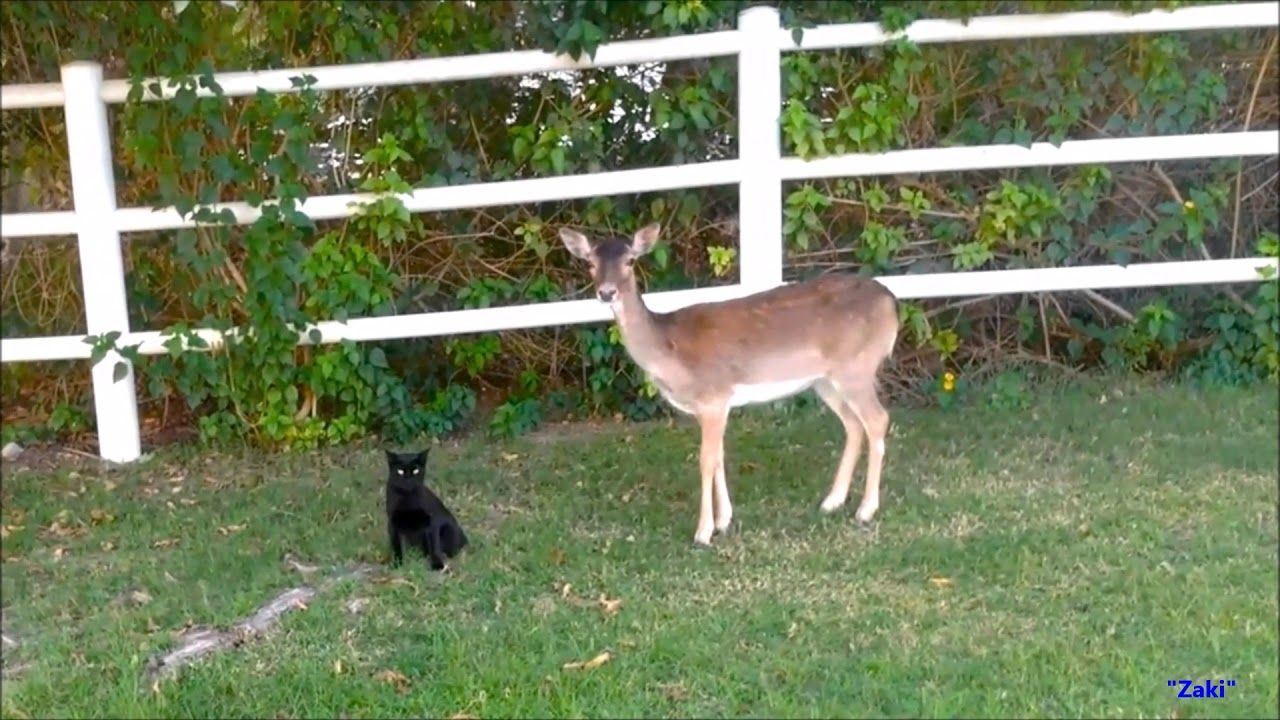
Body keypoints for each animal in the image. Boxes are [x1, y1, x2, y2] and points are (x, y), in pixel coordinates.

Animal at [559, 223, 901, 548]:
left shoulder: (713, 395)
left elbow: (705, 460)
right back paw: (832, 501)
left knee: (877, 419)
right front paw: (724, 520)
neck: (669, 352)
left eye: (630, 260)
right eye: (590, 262)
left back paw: (866, 509)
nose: (607, 292)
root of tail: (892, 303)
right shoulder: (716, 405)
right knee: (853, 424)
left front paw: (703, 532)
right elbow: (720, 457)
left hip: (856, 368)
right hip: (825, 381)